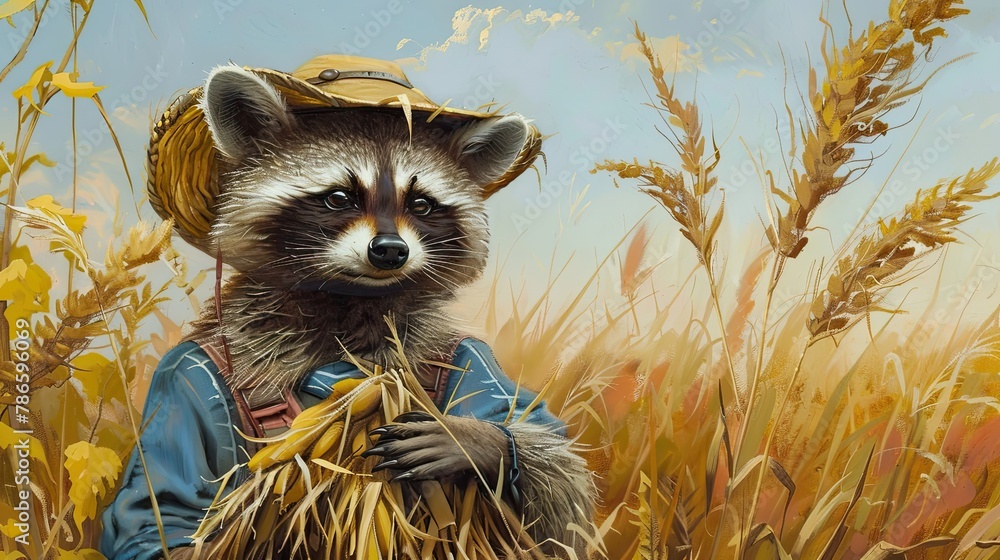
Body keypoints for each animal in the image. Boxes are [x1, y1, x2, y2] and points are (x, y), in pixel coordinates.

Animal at [100, 63, 595, 560]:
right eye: (339, 197)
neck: (349, 300)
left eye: (421, 204)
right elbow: (161, 514)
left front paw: (471, 437)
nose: (390, 251)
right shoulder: (185, 370)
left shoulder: (466, 350)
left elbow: (561, 475)